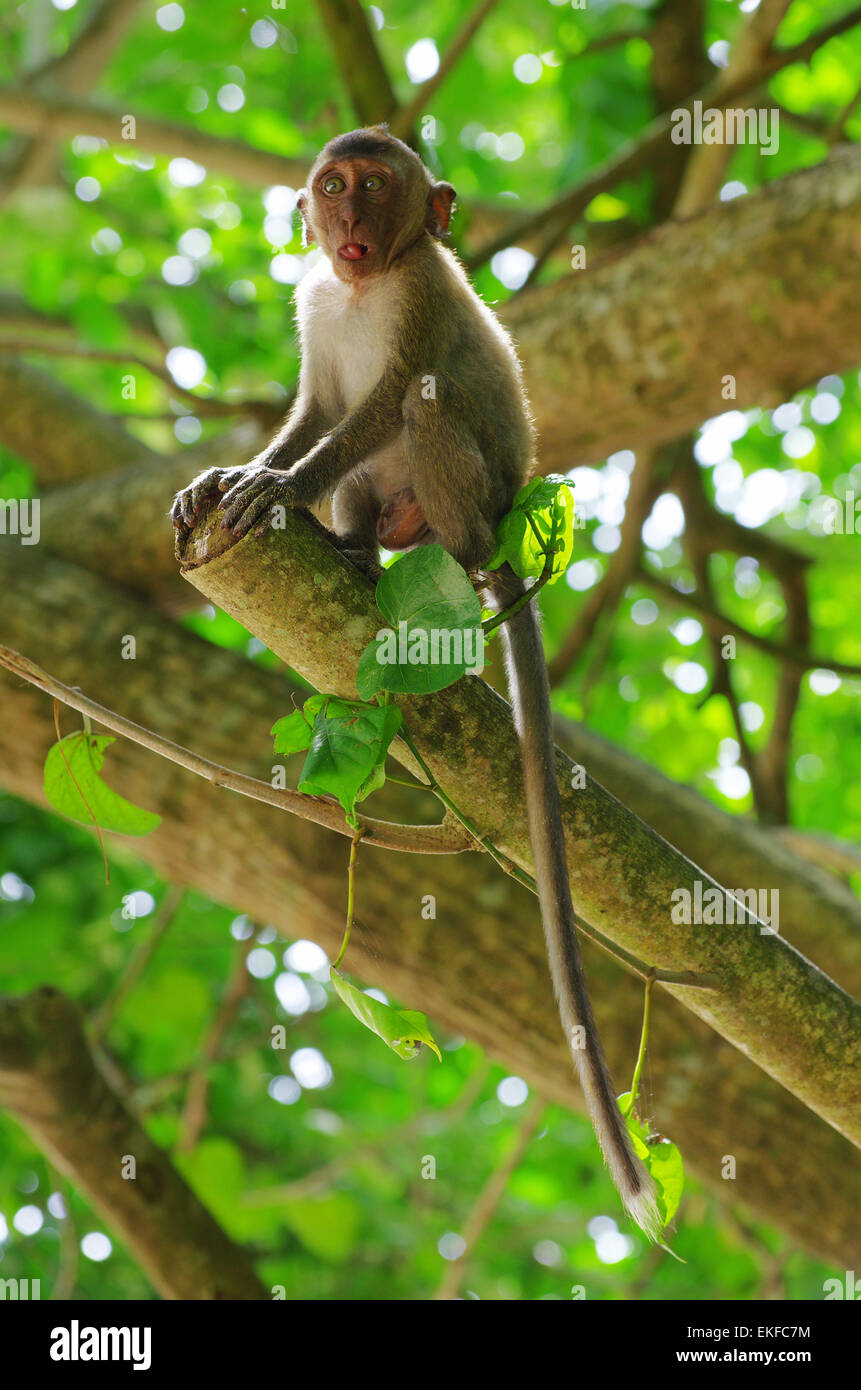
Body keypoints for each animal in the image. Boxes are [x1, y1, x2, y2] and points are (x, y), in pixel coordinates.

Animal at [171, 127, 661, 1241]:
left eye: (377, 186)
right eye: (333, 186)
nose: (350, 221)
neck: (368, 283)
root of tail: (496, 531)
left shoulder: (424, 295)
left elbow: (383, 399)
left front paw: (275, 486)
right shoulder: (318, 296)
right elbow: (318, 405)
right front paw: (231, 477)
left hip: (466, 497)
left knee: (424, 408)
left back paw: (435, 554)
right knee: (371, 464)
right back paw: (350, 548)